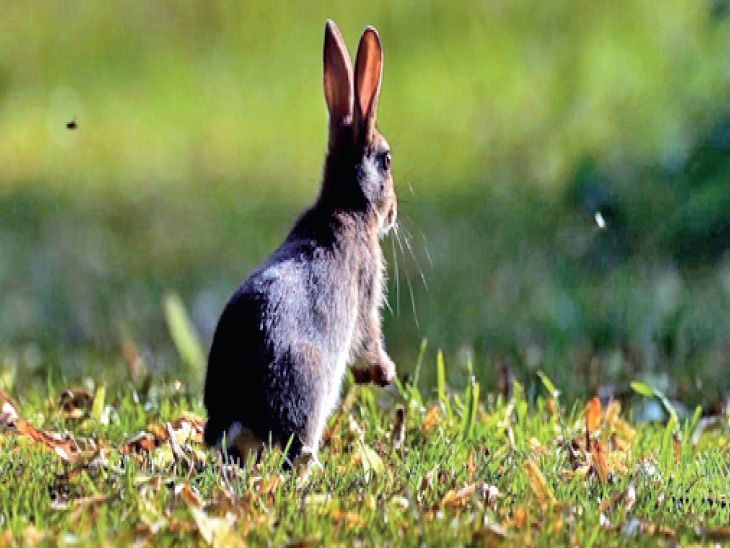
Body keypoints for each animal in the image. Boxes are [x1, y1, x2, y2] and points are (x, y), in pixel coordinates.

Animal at [203, 20, 397, 465]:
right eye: (387, 159)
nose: (393, 214)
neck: (346, 204)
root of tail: (233, 412)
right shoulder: (366, 287)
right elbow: (368, 335)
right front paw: (383, 374)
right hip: (308, 391)